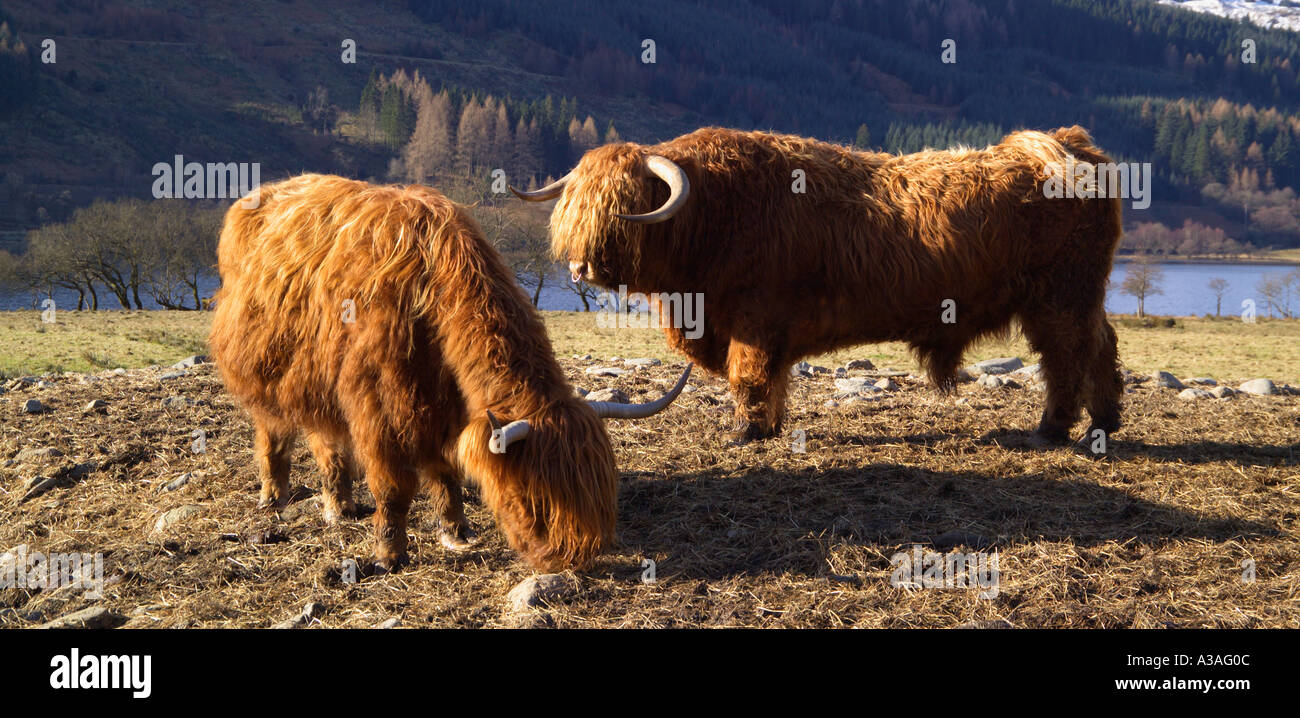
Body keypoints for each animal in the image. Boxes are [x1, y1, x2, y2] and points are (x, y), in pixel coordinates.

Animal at [209, 174, 690, 571]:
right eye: (533, 500)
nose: (575, 559)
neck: (431, 286)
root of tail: (263, 193)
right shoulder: (377, 405)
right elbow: (392, 486)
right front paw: (389, 553)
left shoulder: (446, 404)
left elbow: (446, 471)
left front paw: (456, 531)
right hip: (267, 371)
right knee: (274, 431)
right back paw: (274, 496)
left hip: (315, 376)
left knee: (324, 438)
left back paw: (339, 504)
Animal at [514, 126, 1123, 445]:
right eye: (574, 209)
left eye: (621, 206)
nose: (581, 271)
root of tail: (1066, 144)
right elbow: (773, 378)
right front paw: (771, 425)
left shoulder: (756, 320)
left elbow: (749, 375)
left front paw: (746, 431)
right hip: (1082, 294)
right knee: (1103, 346)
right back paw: (1105, 421)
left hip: (1061, 296)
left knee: (1067, 356)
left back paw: (1053, 429)